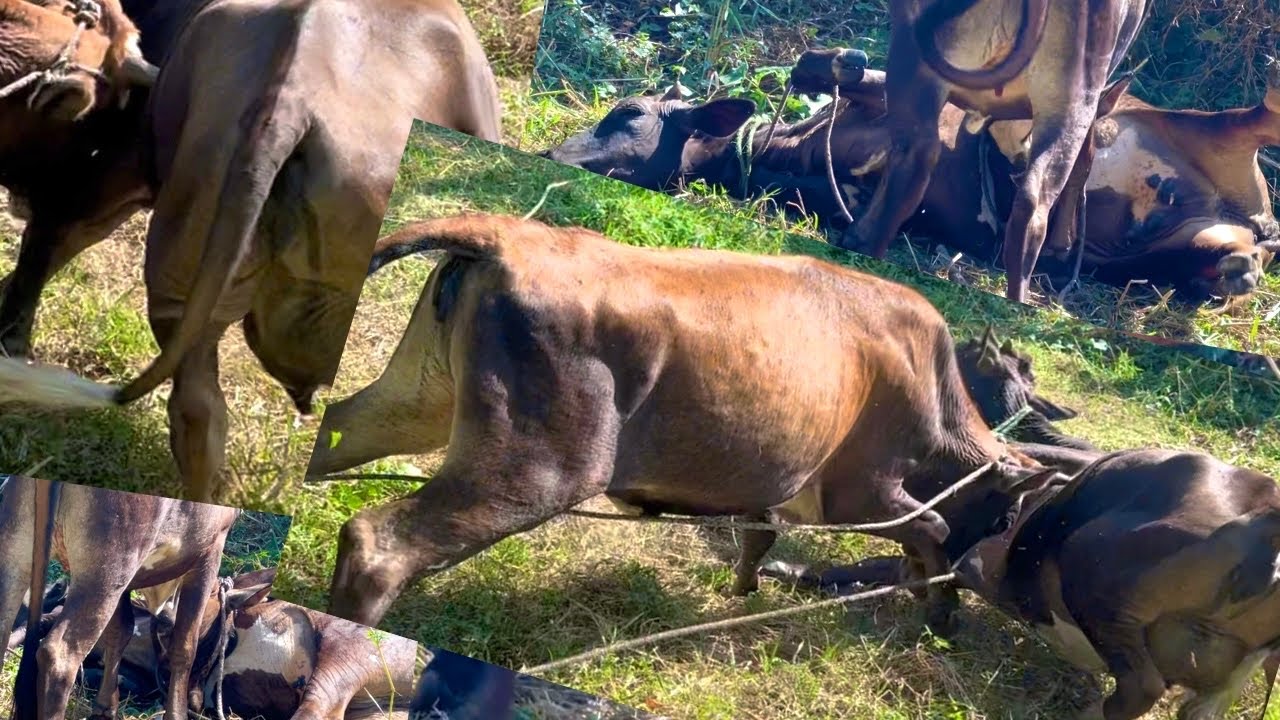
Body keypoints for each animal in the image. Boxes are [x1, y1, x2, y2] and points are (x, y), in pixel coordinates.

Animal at [0, 476, 239, 720]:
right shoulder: (210, 551)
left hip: (15, 559)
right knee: (58, 658)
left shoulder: (128, 582)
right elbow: (185, 647)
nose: (197, 704)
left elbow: (120, 632)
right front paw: (176, 714)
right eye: (225, 638)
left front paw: (106, 708)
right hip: (105, 576)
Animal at [301, 212, 1056, 636]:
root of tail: (505, 238)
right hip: (539, 470)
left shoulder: (770, 483)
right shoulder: (862, 490)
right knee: (379, 545)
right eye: (1002, 517)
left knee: (333, 433)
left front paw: (746, 590)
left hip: (414, 403)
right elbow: (932, 528)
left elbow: (761, 532)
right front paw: (936, 608)